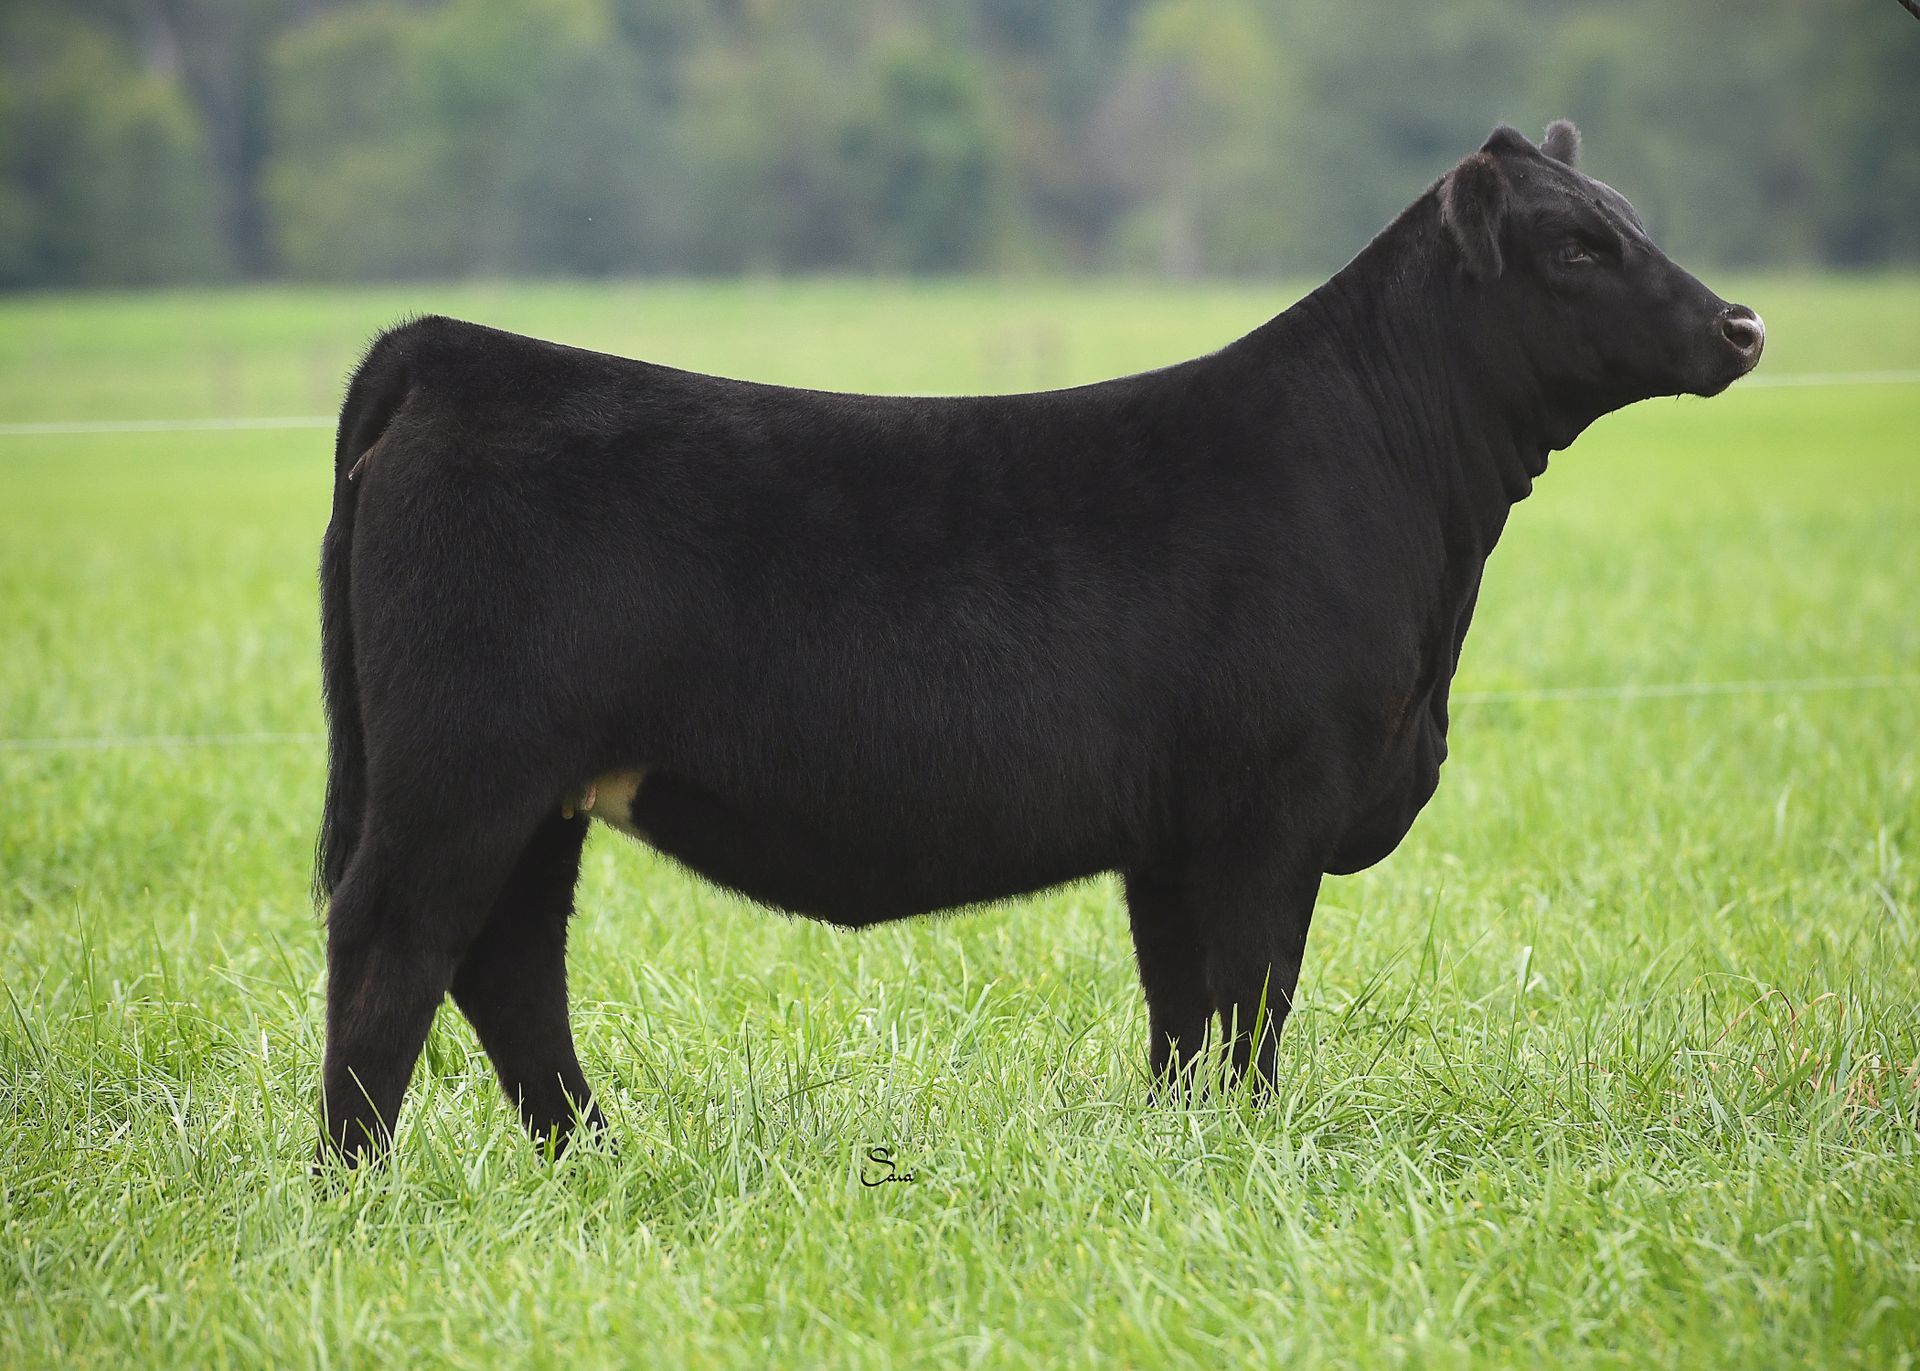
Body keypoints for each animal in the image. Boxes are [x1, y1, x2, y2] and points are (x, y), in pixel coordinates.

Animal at [313, 120, 1763, 1165]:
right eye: (1576, 246)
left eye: (1633, 222)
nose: (1742, 323)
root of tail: (449, 348)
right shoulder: (1270, 806)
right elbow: (1253, 1001)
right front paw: (1251, 1152)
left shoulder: (1171, 836)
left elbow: (1185, 1018)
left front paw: (1183, 1151)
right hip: (464, 767)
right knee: (395, 940)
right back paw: (356, 1180)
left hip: (534, 789)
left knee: (505, 965)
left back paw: (596, 1160)